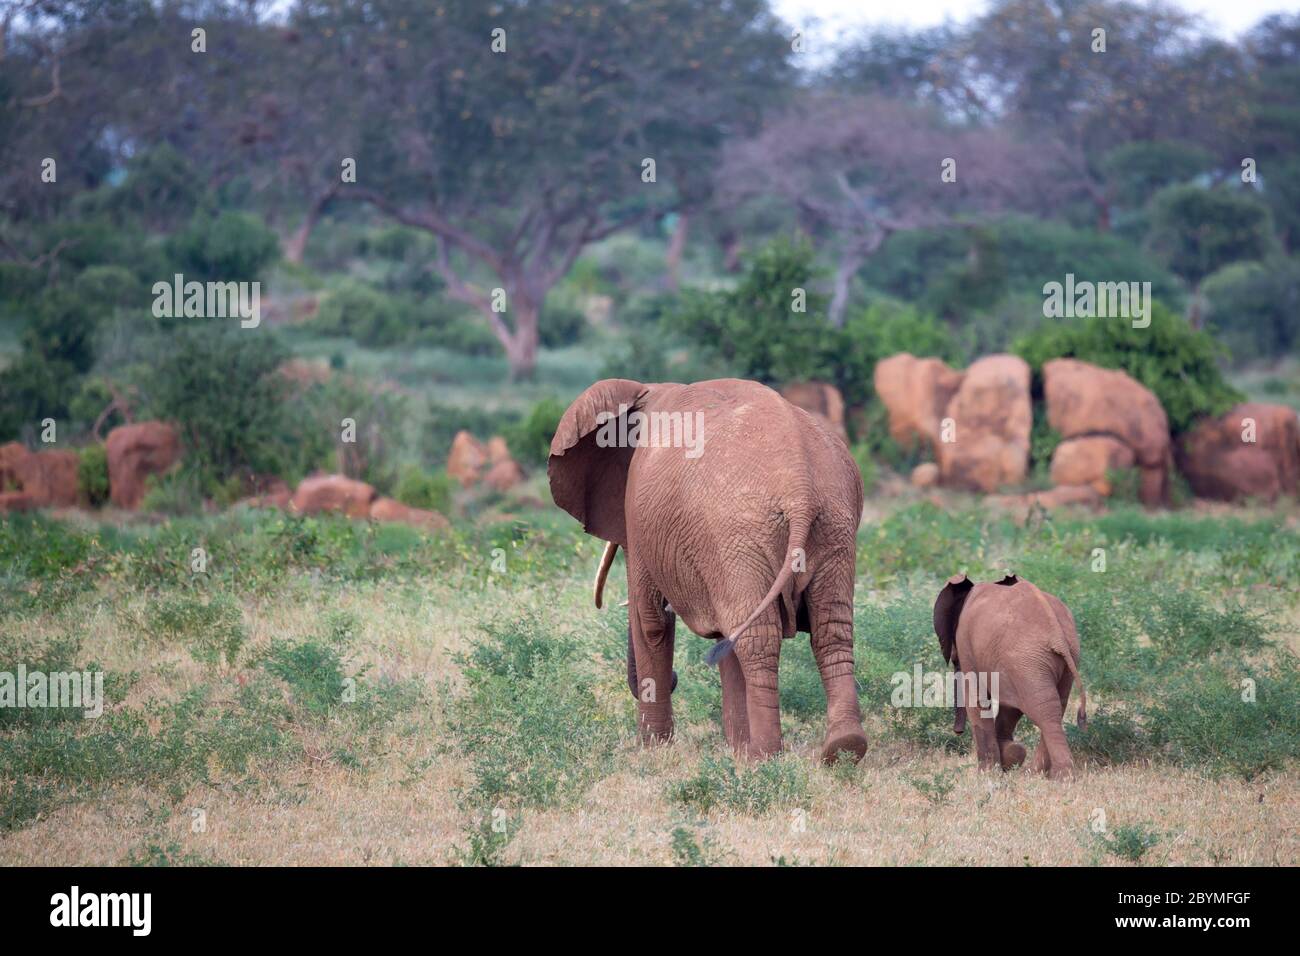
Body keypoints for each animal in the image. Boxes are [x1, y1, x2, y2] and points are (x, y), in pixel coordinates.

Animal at [549, 377, 868, 764]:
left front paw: (654, 750)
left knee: (756, 639)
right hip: (832, 524)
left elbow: (650, 621)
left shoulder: (639, 516)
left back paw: (765, 757)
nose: (676, 679)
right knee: (829, 629)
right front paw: (736, 750)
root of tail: (800, 489)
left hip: (739, 533)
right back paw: (842, 749)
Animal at [933, 573, 1087, 780]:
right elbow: (1009, 707)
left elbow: (978, 699)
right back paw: (1037, 773)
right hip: (1059, 658)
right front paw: (1010, 756)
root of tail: (1057, 636)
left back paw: (1058, 777)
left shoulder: (967, 642)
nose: (957, 731)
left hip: (1026, 657)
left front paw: (988, 773)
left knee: (1043, 709)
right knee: (1055, 706)